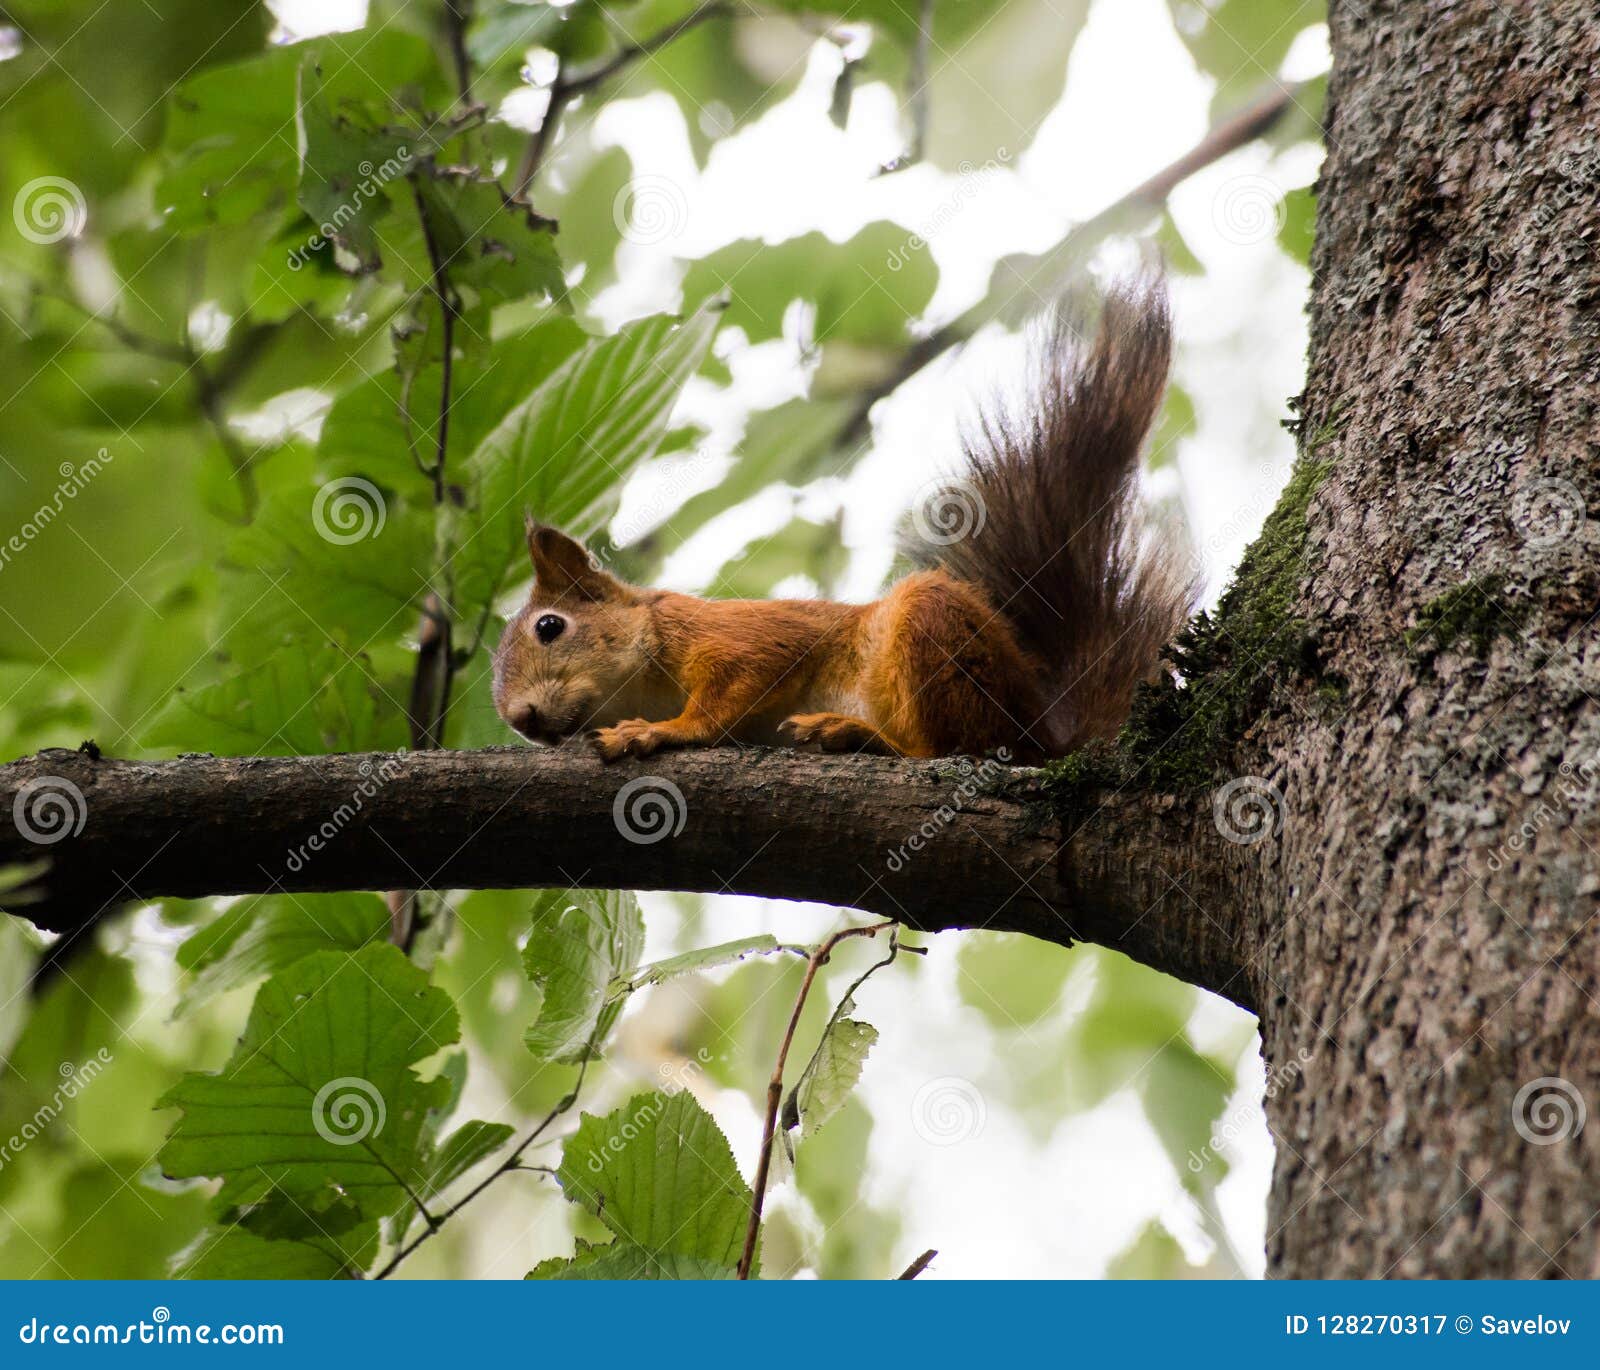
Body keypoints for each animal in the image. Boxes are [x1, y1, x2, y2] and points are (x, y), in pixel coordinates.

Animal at [492, 277, 1197, 764]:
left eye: (550, 627)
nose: (521, 718)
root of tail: (1043, 736)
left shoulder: (734, 636)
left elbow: (734, 687)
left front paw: (660, 731)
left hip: (936, 638)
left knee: (949, 750)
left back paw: (856, 733)